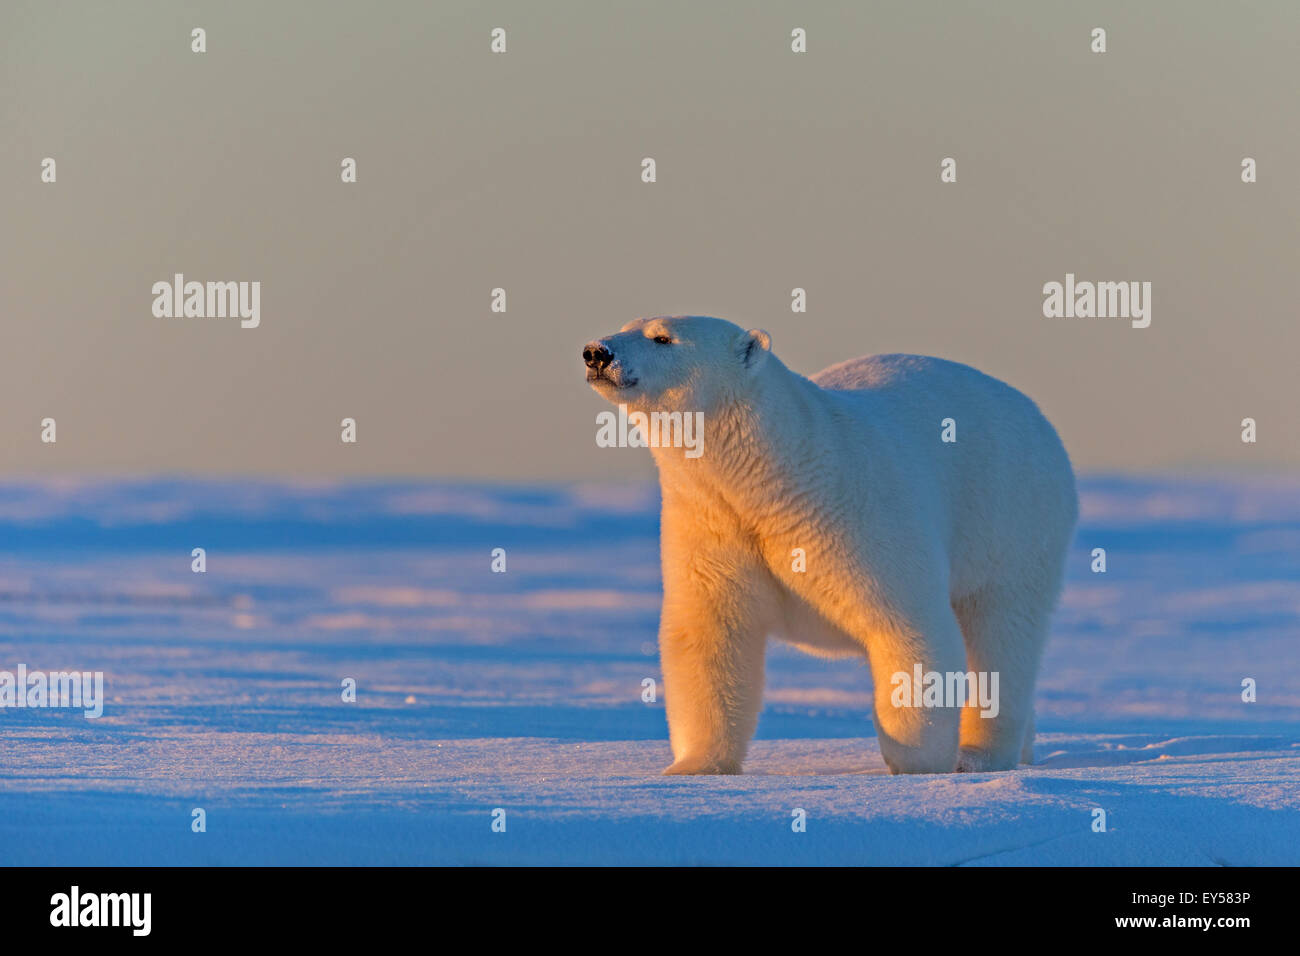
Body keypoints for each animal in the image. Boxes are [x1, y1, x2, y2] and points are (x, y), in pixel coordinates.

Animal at [582, 316, 1077, 775]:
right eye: (627, 324)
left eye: (661, 337)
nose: (596, 352)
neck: (773, 476)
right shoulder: (712, 522)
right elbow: (709, 637)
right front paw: (693, 766)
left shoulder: (855, 514)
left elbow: (909, 629)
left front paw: (915, 762)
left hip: (1013, 521)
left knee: (1002, 634)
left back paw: (981, 756)